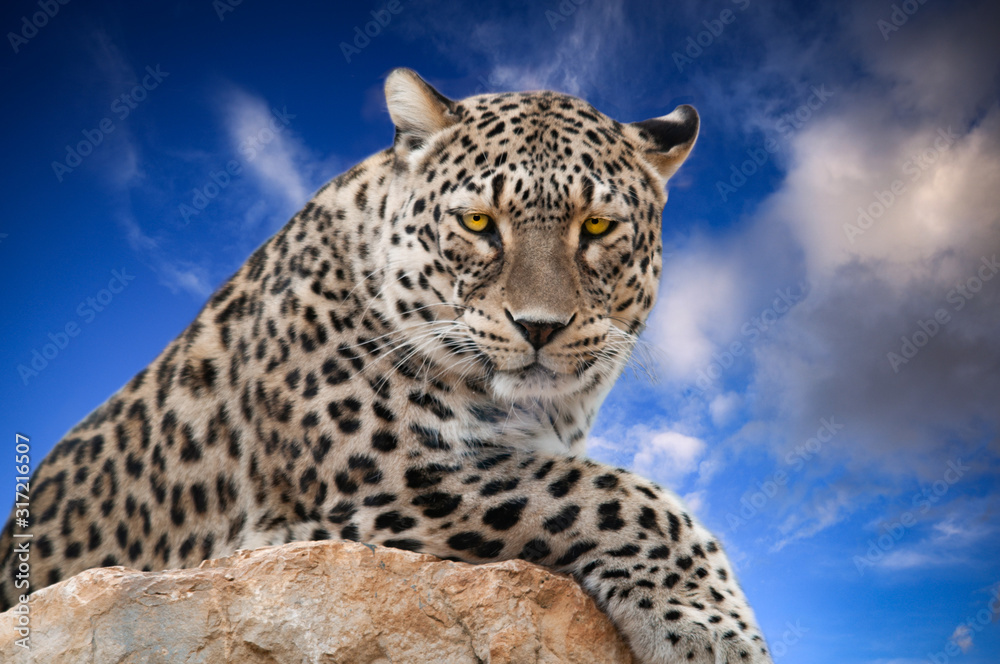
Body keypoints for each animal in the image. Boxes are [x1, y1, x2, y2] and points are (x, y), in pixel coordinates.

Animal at [1, 68, 771, 663]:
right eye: (479, 223)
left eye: (598, 227)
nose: (539, 327)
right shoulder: (384, 479)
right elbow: (621, 496)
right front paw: (716, 632)